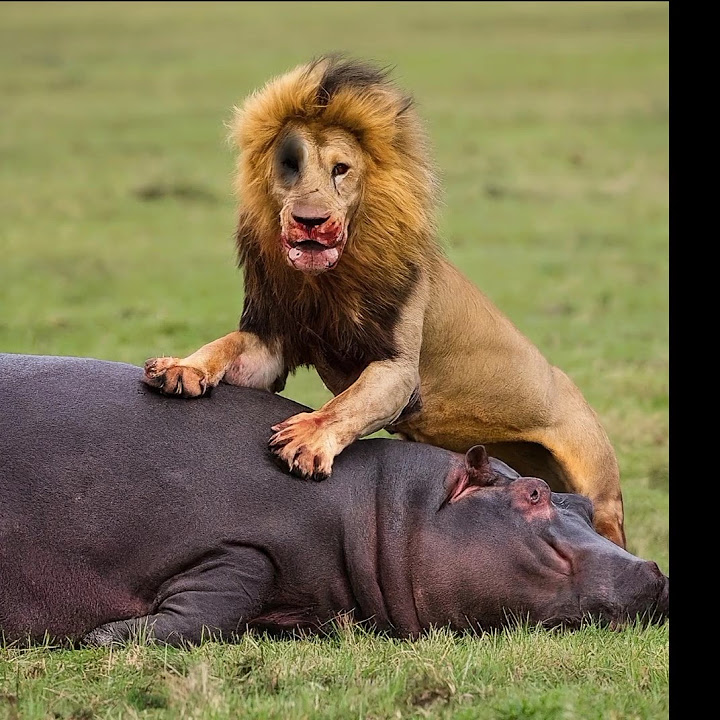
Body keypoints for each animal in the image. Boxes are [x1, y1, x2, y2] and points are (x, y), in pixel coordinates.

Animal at [0, 354, 668, 646]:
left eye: (581, 505)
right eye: (533, 494)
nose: (653, 571)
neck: (377, 504)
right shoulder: (237, 542)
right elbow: (219, 596)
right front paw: (103, 635)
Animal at [143, 56, 626, 547]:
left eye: (340, 169)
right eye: (290, 165)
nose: (310, 221)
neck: (327, 280)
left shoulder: (398, 369)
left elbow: (349, 404)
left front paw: (307, 440)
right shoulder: (273, 344)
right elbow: (226, 345)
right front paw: (183, 368)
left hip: (603, 499)